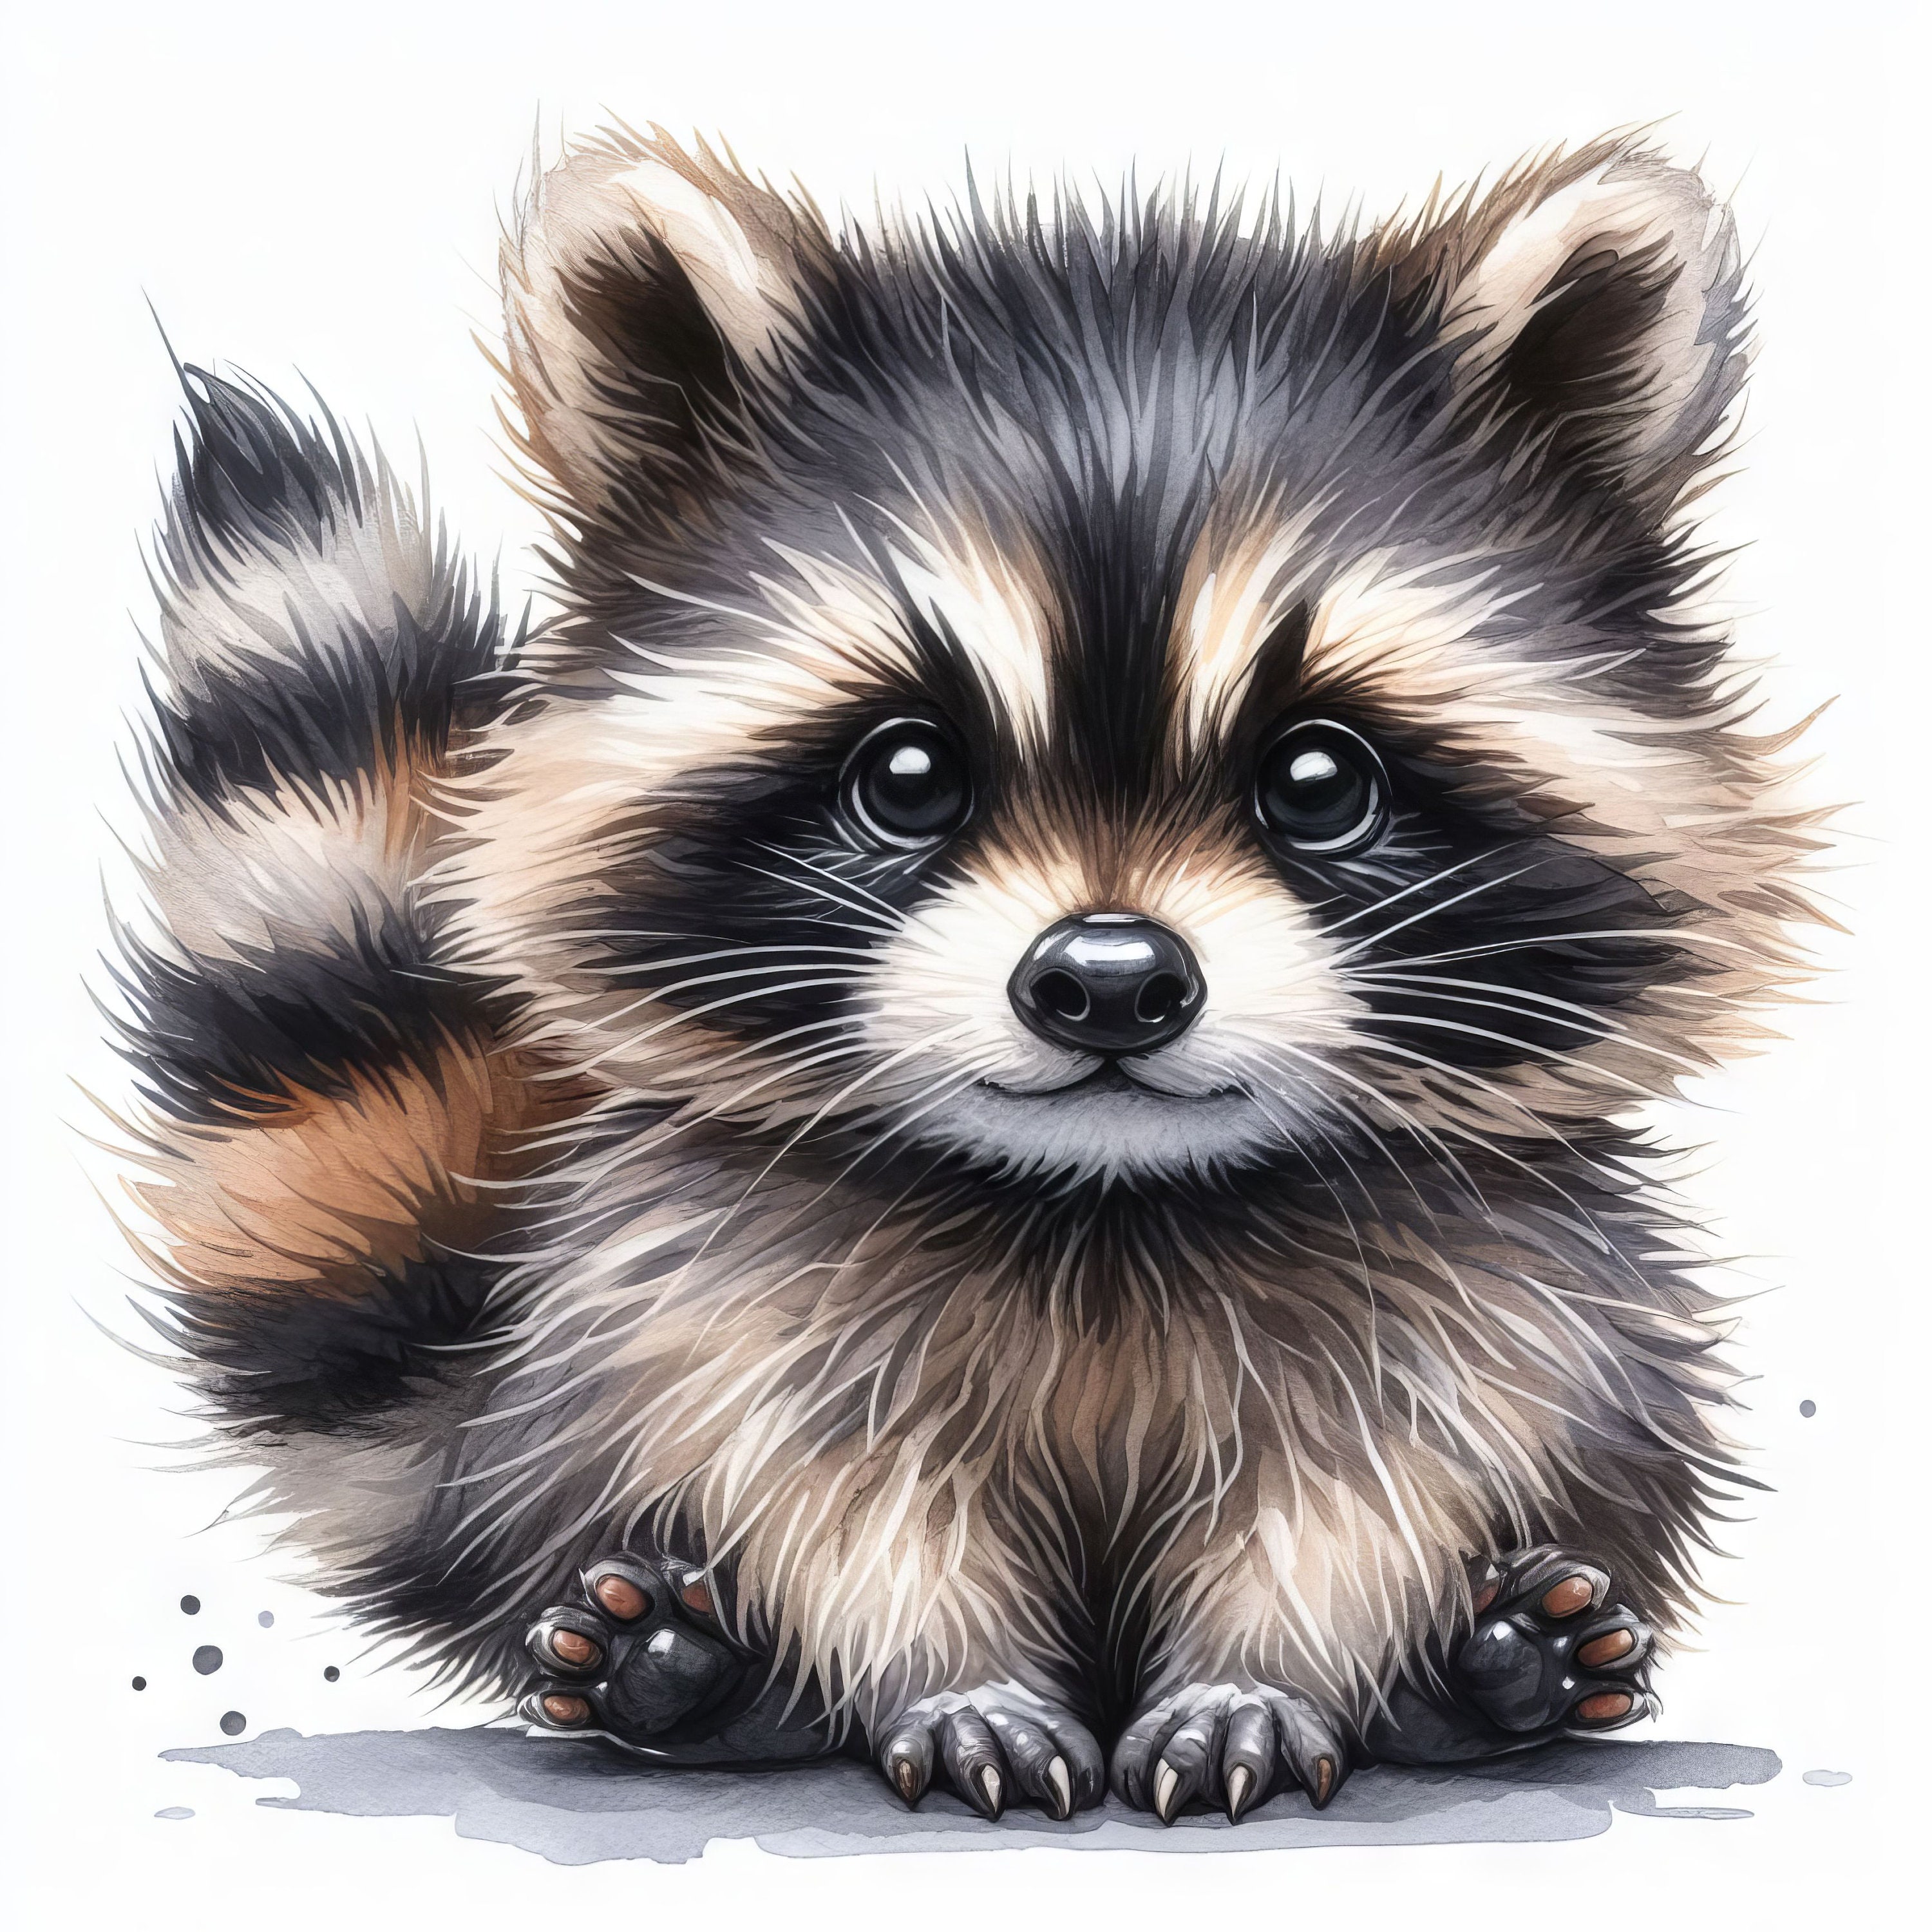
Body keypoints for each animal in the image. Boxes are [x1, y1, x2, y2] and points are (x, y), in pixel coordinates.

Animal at [111, 125, 1820, 1821]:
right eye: (909, 772)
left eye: (1318, 778)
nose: (1111, 980)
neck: (1110, 1200)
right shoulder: (732, 1292)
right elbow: (835, 1492)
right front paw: (946, 1674)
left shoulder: (1477, 1298)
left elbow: (1368, 1488)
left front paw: (1266, 1670)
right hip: (582, 1398)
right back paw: (688, 1673)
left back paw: (1497, 1668)